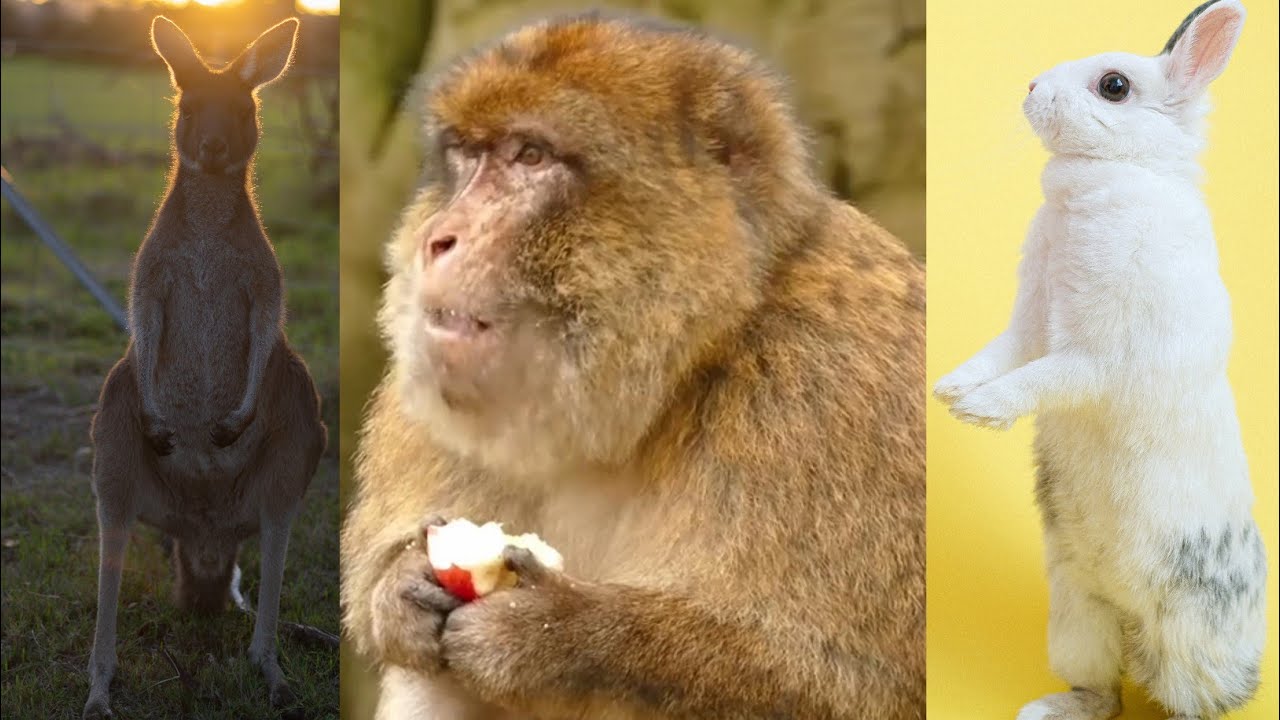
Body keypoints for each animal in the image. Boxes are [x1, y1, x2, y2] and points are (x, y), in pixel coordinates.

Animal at [341, 13, 925, 720]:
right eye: (467, 155)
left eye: (530, 156)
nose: (438, 239)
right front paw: (399, 586)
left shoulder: (829, 390)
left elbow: (862, 689)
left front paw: (558, 630)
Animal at [934, 1, 1265, 718]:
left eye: (1114, 86)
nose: (1032, 86)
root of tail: (1132, 618)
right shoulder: (1030, 321)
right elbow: (1004, 352)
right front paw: (950, 390)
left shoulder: (1098, 357)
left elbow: (1044, 376)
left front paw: (982, 411)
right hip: (1076, 617)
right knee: (1104, 692)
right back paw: (1049, 708)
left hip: (1191, 642)